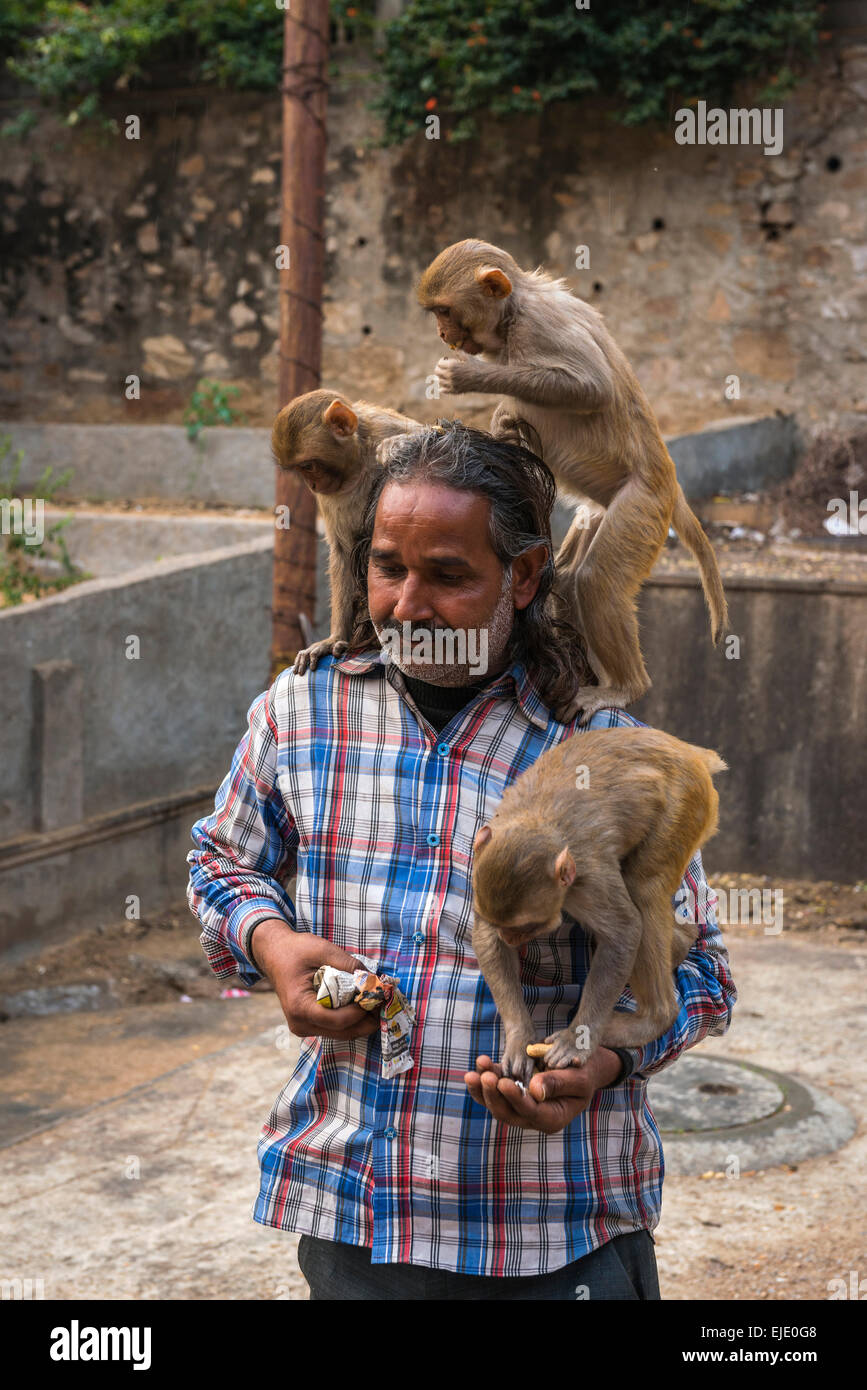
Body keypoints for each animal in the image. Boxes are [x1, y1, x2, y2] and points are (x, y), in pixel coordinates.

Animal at [271, 389, 425, 674]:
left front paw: (400, 445)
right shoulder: (327, 496)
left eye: (308, 466)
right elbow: (342, 551)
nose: (312, 485)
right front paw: (334, 638)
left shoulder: (385, 426)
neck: (357, 461)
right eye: (300, 469)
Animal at [417, 240, 730, 720]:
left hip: (642, 506)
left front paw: (471, 376)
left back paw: (624, 687)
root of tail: (671, 483)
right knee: (569, 572)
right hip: (604, 510)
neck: (513, 311)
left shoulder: (538, 326)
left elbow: (592, 387)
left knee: (597, 577)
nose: (440, 332)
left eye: (446, 310)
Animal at [471, 725, 726, 1087]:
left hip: (685, 803)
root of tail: (688, 751)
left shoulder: (588, 877)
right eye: (504, 928)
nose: (510, 939)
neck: (539, 820)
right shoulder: (481, 869)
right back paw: (681, 943)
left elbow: (624, 932)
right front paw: (520, 1039)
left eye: (527, 928)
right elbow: (486, 938)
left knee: (643, 887)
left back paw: (654, 1018)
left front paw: (579, 1040)